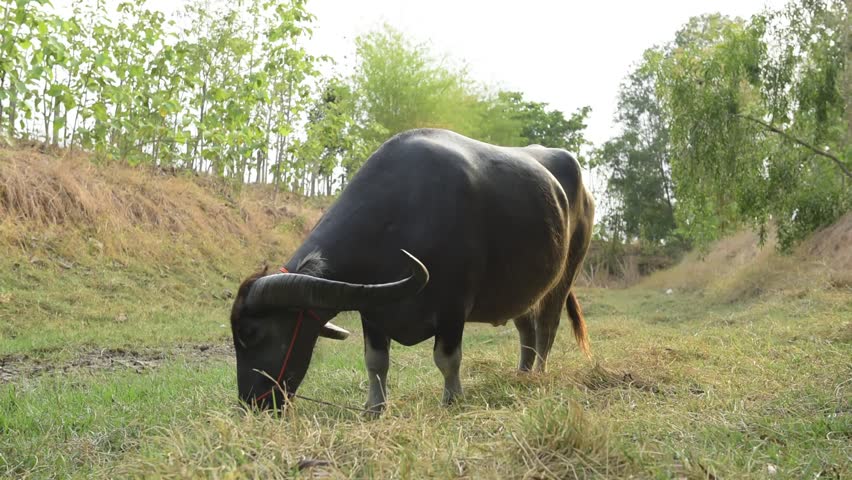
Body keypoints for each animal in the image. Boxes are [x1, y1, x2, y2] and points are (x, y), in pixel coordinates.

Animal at [230, 128, 594, 413]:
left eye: (251, 333)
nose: (252, 404)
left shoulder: (453, 308)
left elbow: (447, 359)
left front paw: (452, 401)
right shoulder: (372, 310)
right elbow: (376, 361)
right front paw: (374, 407)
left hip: (565, 276)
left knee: (546, 328)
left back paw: (538, 375)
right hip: (522, 288)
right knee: (526, 329)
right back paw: (521, 374)